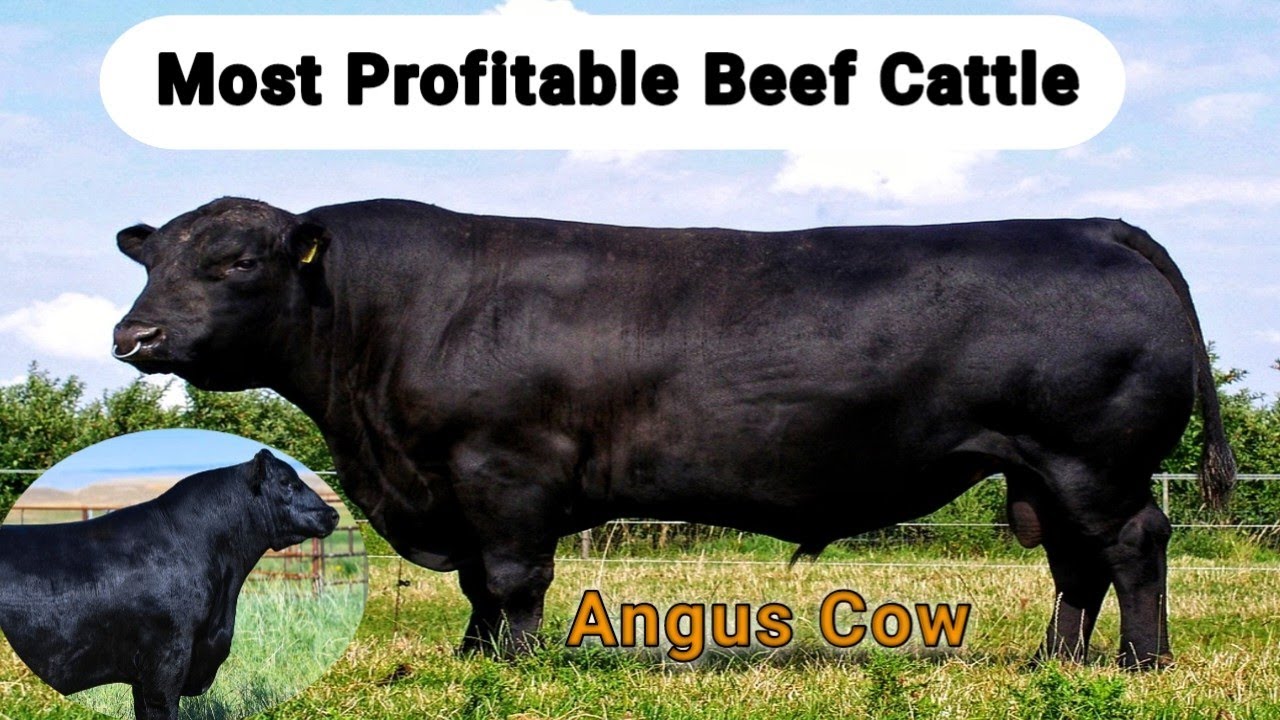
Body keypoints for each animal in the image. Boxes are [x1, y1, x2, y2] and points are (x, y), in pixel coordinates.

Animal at [110, 197, 1234, 669]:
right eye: (151, 260)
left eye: (236, 263)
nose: (136, 334)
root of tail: (1091, 225)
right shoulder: (454, 484)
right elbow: (476, 585)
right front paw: (475, 658)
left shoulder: (503, 469)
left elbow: (510, 577)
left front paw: (520, 666)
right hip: (1043, 470)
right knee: (1073, 566)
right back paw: (1055, 662)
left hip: (1093, 459)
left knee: (1132, 544)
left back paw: (1137, 665)